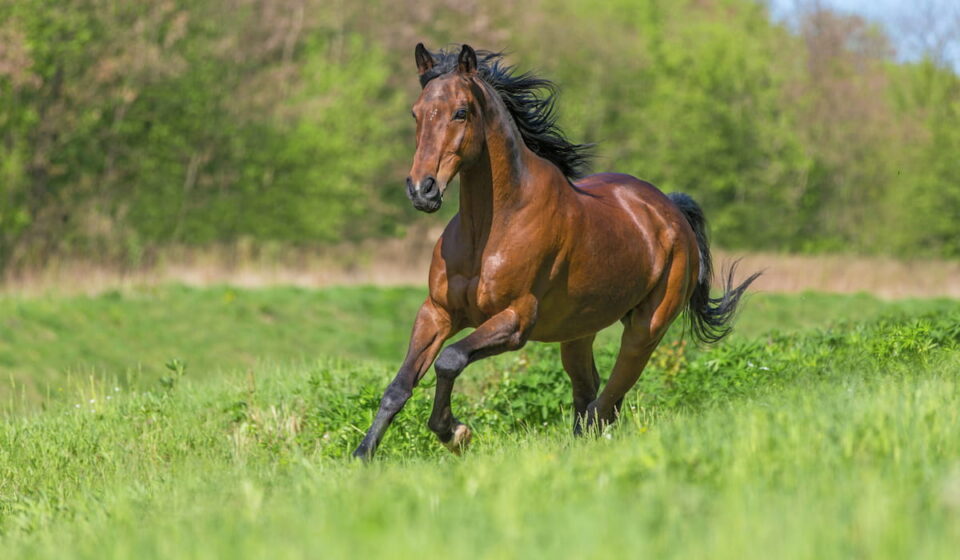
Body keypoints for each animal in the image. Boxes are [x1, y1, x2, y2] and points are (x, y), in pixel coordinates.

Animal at [353, 43, 760, 460]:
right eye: (416, 112)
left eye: (461, 111)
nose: (422, 189)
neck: (489, 229)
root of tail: (671, 210)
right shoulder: (437, 312)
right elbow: (399, 386)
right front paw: (363, 454)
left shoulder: (516, 320)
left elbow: (450, 360)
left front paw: (456, 432)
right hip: (578, 331)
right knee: (589, 390)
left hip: (646, 329)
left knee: (609, 399)